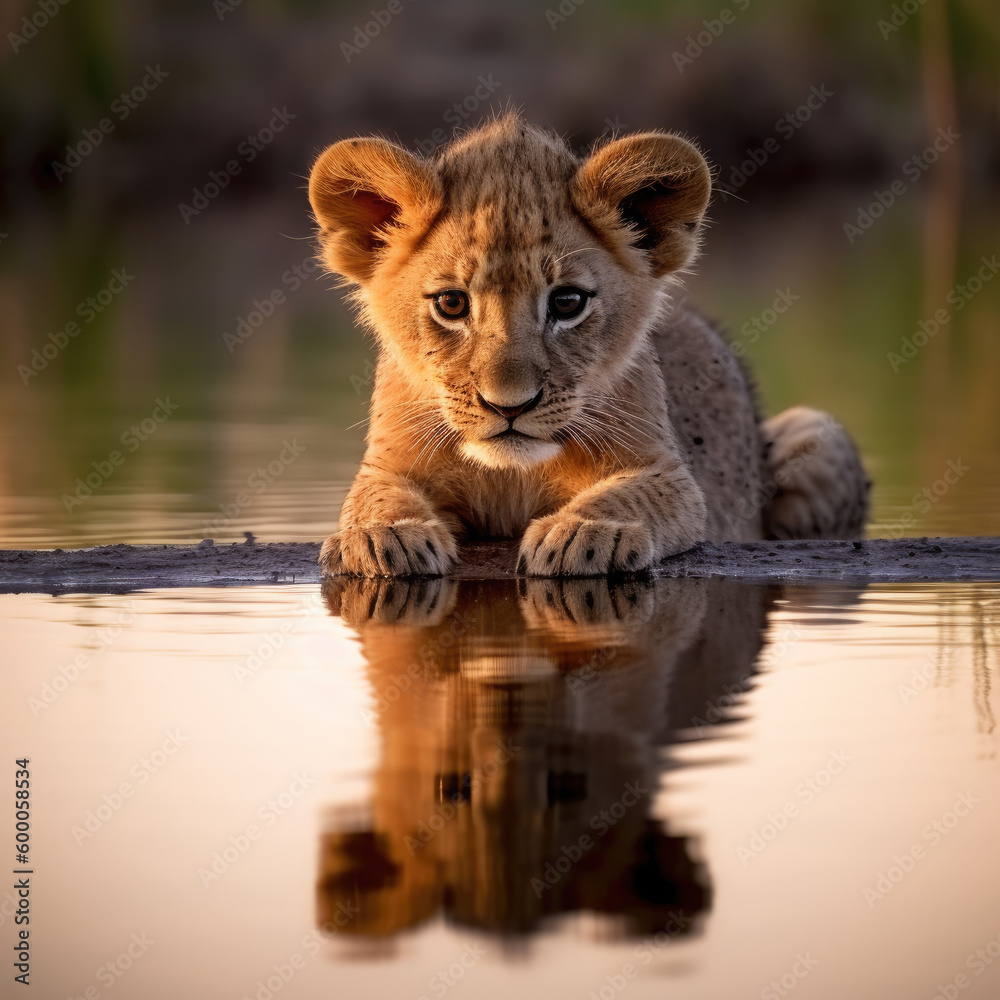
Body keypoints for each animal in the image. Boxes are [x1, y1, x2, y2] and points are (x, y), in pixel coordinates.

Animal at [307, 113, 869, 577]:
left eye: (567, 302)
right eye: (451, 303)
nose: (509, 407)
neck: (512, 478)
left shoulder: (670, 476)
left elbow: (628, 497)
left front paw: (585, 534)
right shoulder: (388, 464)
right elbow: (375, 497)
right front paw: (384, 537)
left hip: (816, 436)